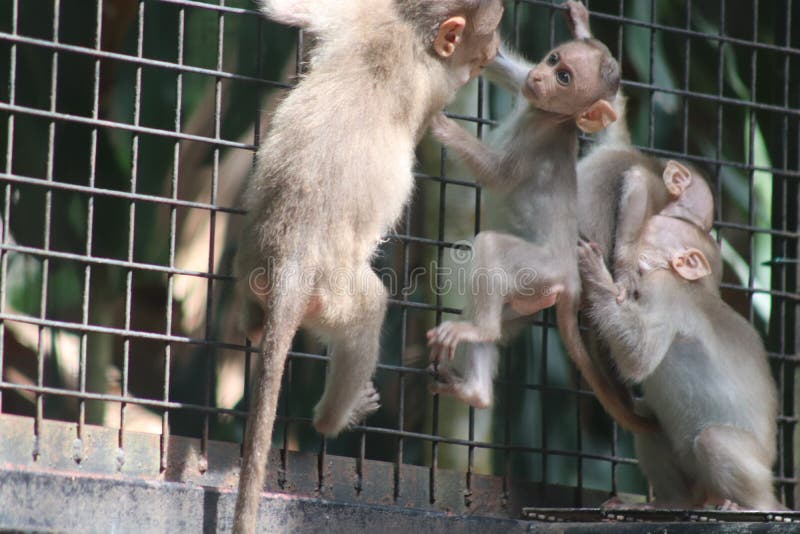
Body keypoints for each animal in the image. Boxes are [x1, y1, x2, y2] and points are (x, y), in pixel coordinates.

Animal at [231, 1, 504, 531]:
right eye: (484, 49)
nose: (494, 53)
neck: (408, 32)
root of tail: (292, 265)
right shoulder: (433, 84)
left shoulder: (363, 14)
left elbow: (283, 9)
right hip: (332, 294)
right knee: (371, 307)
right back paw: (333, 419)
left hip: (250, 260)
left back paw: (253, 326)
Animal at [425, 0, 658, 433]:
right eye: (553, 60)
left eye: (564, 78)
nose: (540, 76)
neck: (547, 118)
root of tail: (571, 283)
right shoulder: (527, 97)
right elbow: (503, 67)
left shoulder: (537, 142)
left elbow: (496, 175)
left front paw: (440, 123)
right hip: (528, 296)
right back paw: (475, 389)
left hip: (540, 270)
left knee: (491, 249)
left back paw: (478, 329)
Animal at [577, 164, 783, 511]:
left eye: (644, 239)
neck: (696, 287)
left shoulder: (664, 290)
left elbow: (639, 357)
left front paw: (597, 276)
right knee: (646, 416)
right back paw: (668, 502)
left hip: (751, 472)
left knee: (714, 440)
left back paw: (747, 505)